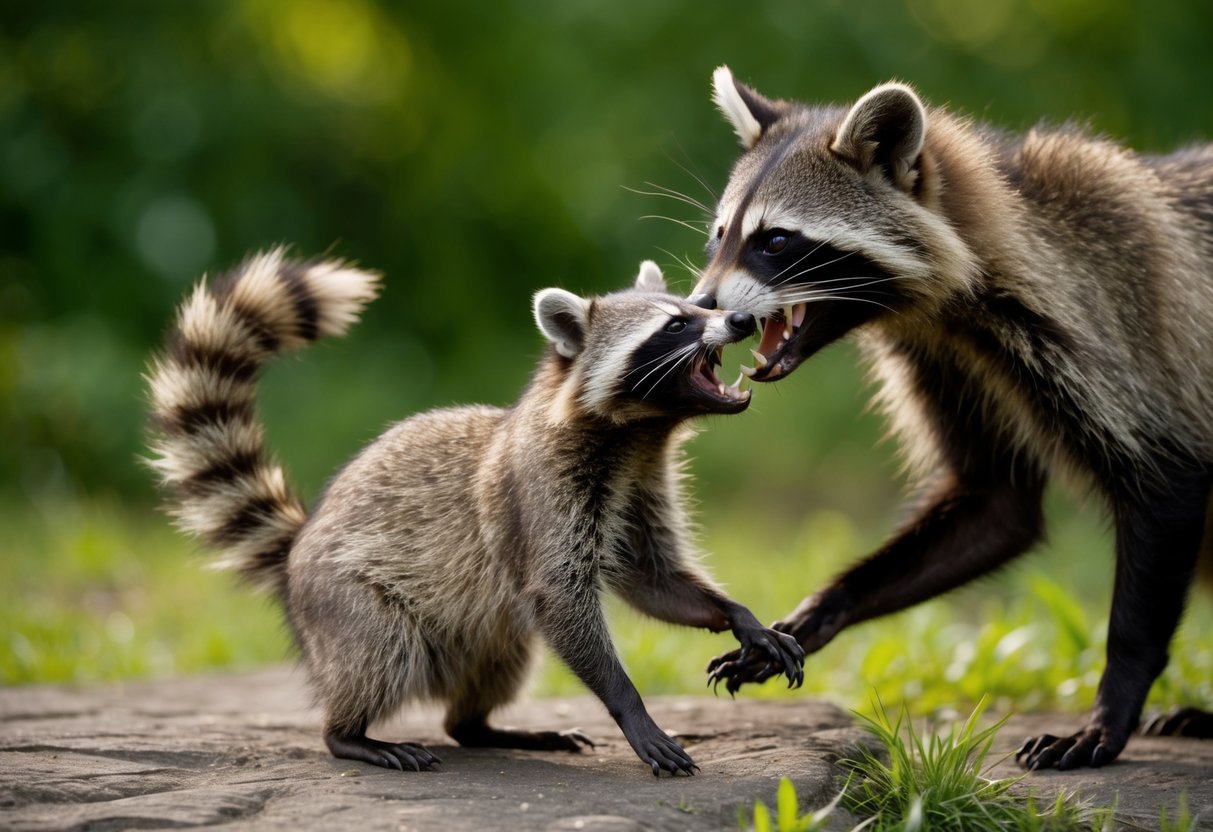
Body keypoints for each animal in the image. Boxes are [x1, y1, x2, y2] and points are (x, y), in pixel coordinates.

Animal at [146, 249, 803, 776]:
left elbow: (653, 579)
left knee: (497, 666)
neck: (641, 432)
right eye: (676, 324)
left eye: (699, 304)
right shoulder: (540, 491)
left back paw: (480, 725)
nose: (741, 320)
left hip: (481, 634)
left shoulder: (641, 484)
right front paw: (632, 707)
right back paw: (350, 734)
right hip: (342, 599)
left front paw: (739, 616)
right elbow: (558, 596)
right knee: (380, 649)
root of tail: (295, 554)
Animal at [693, 67, 1213, 770]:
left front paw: (1114, 702)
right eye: (721, 236)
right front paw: (815, 614)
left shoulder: (1122, 335)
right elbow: (995, 507)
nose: (699, 307)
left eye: (775, 240)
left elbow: (1167, 487)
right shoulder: (947, 360)